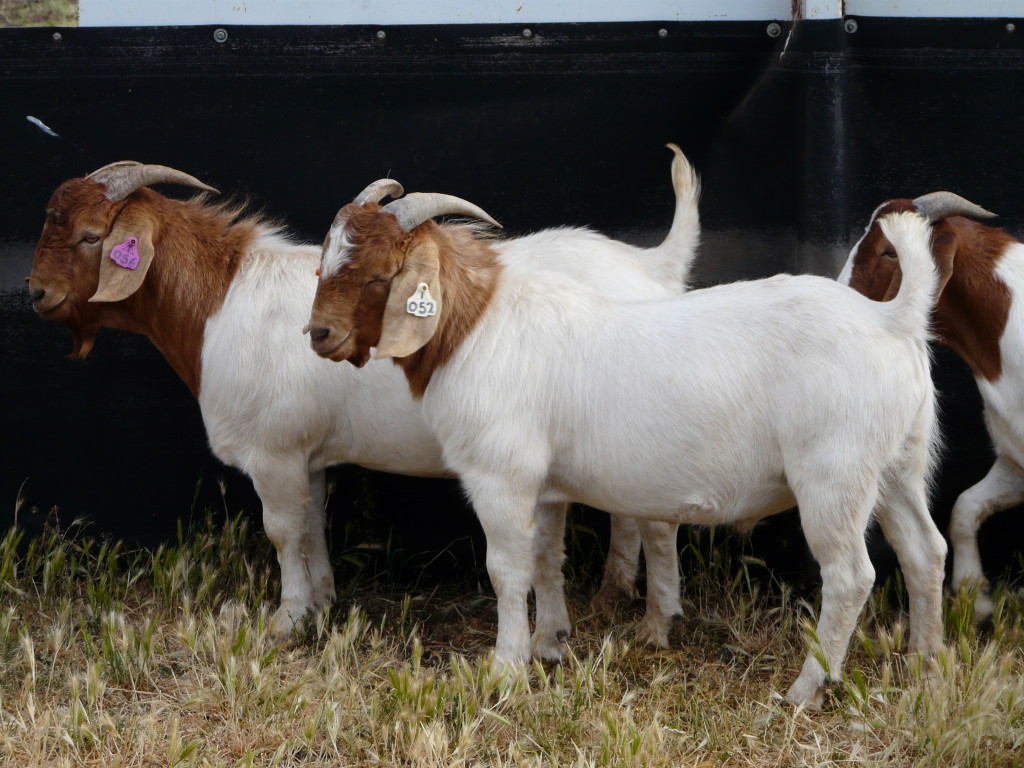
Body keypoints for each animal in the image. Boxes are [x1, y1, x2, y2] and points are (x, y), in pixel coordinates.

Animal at [27, 150, 699, 652]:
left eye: (91, 236)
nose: (34, 293)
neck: (221, 300)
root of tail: (653, 268)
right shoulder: (307, 453)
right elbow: (313, 527)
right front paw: (322, 603)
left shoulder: (273, 451)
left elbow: (281, 532)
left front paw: (286, 620)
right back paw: (612, 598)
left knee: (656, 519)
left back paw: (653, 621)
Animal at [306, 182, 947, 707]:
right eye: (323, 265)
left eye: (378, 274)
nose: (318, 334)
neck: (479, 326)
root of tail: (891, 320)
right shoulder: (546, 486)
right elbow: (547, 558)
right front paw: (550, 645)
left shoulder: (500, 475)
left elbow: (507, 569)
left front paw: (506, 669)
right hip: (898, 465)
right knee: (925, 550)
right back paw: (925, 662)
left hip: (835, 473)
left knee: (851, 576)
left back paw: (806, 690)